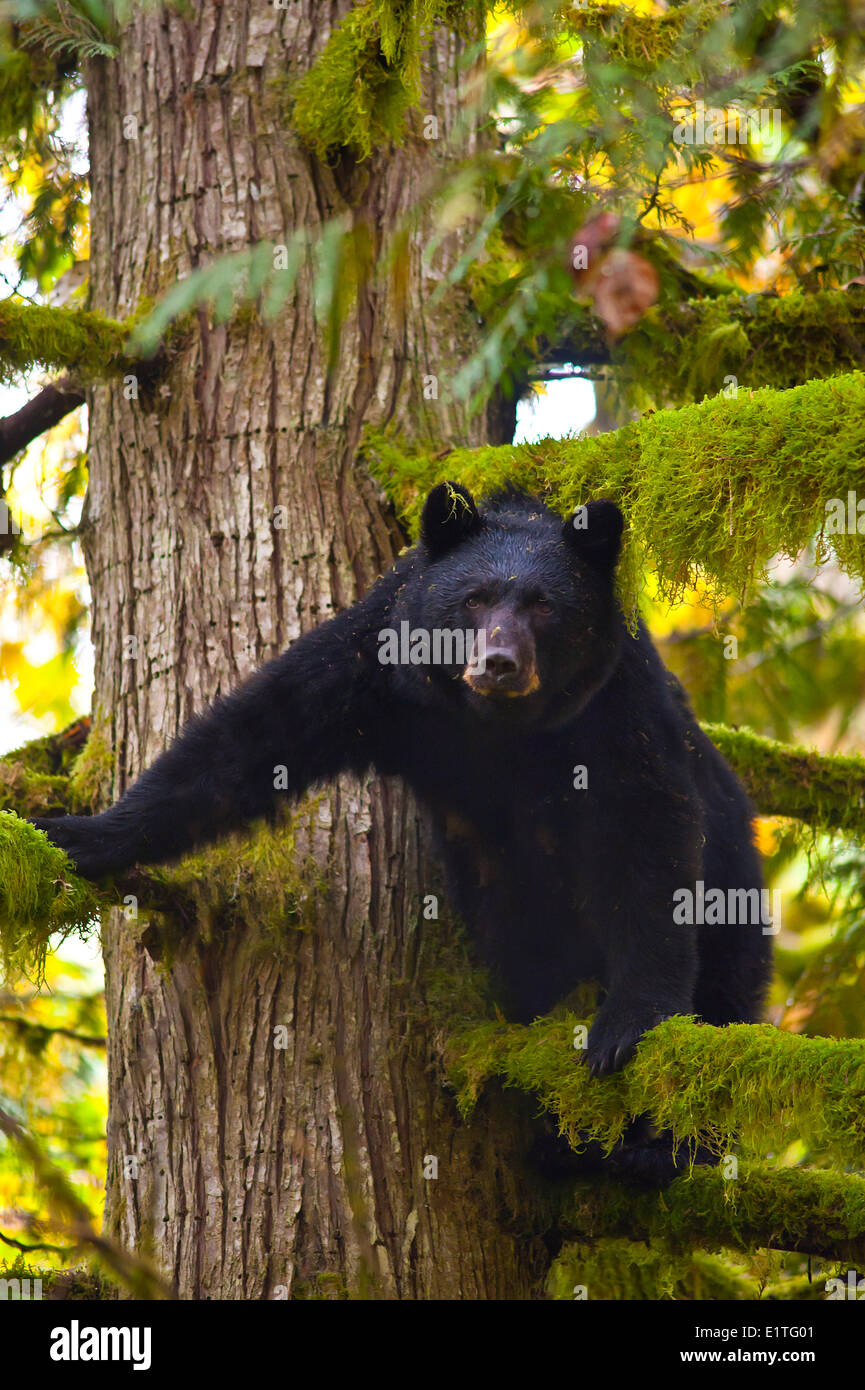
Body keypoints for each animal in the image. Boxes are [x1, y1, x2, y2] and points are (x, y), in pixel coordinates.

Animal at [31, 481, 771, 1086]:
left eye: (544, 606)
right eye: (474, 597)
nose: (499, 663)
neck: (498, 726)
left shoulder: (618, 704)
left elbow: (647, 836)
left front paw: (627, 1024)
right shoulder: (375, 664)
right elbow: (253, 737)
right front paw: (81, 834)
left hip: (739, 884)